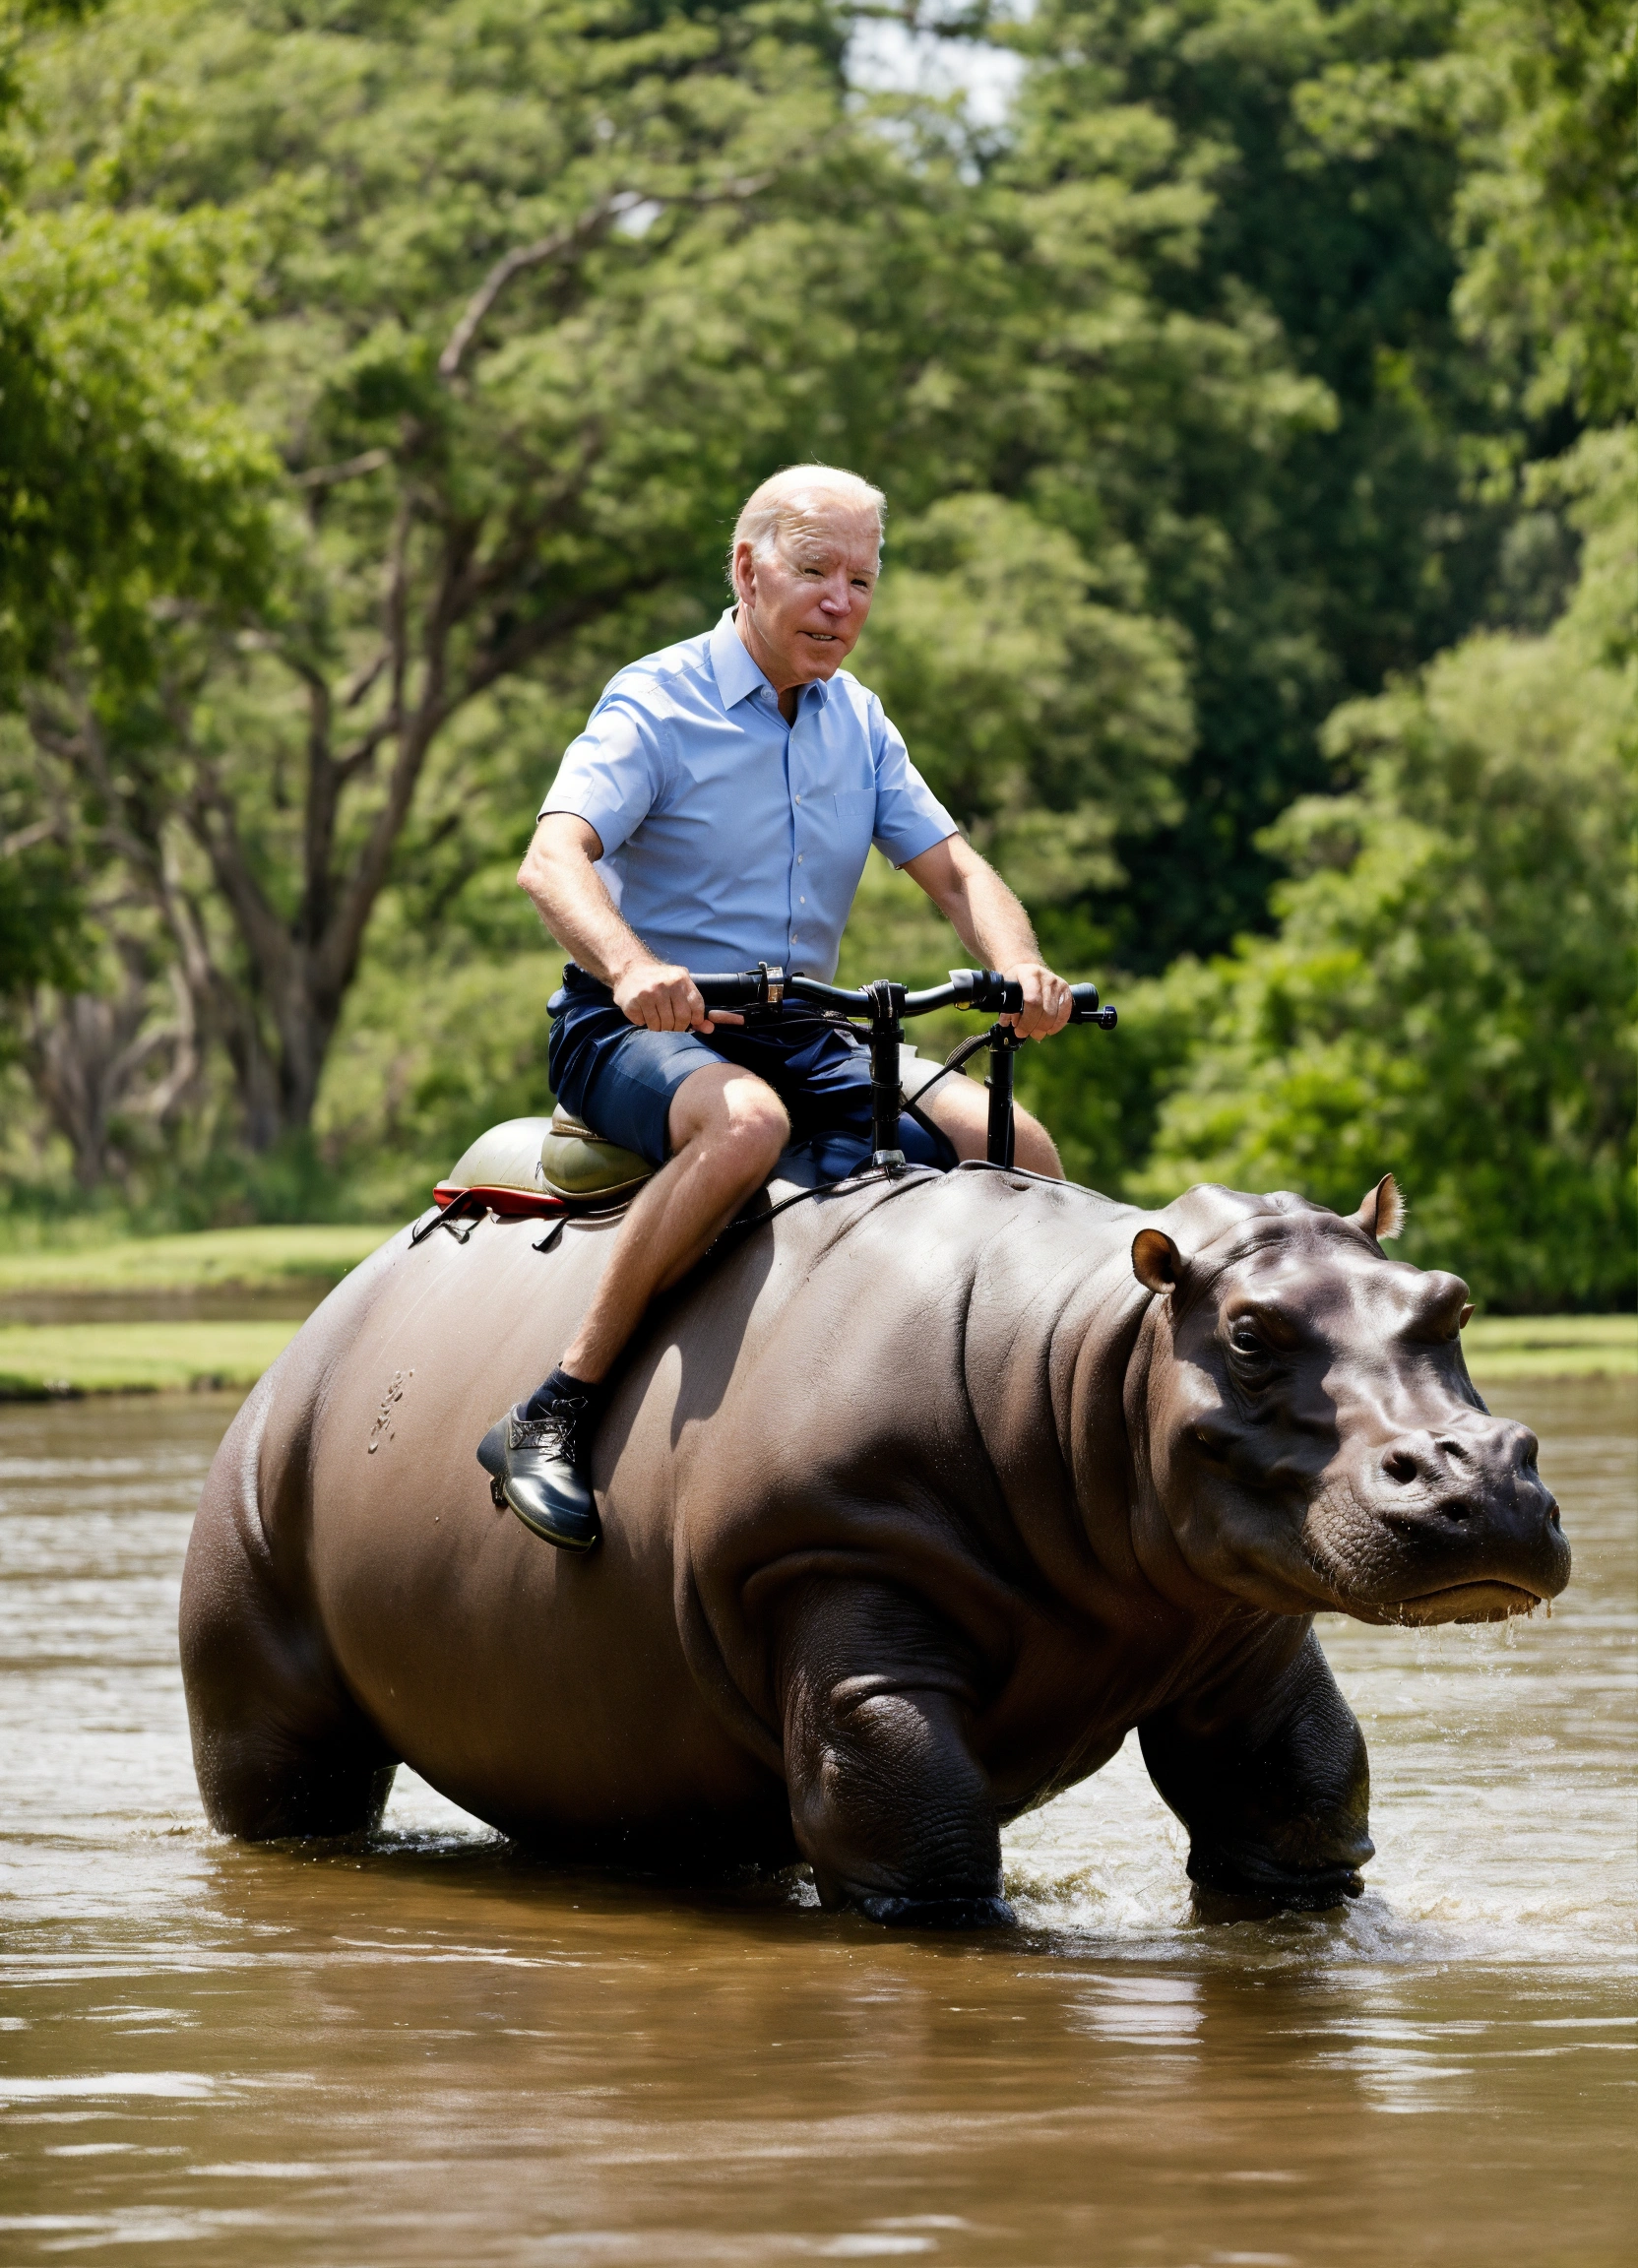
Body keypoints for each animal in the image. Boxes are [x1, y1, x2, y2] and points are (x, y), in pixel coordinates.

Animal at [180, 1162, 1568, 1925]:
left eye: (1448, 1302)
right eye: (1245, 1333)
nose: (1479, 1476)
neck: (1092, 1356)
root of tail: (313, 1330)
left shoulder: (1231, 1628)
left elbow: (1298, 1783)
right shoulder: (826, 1563)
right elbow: (915, 1815)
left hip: (613, 1729)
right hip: (254, 1604)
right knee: (289, 1788)